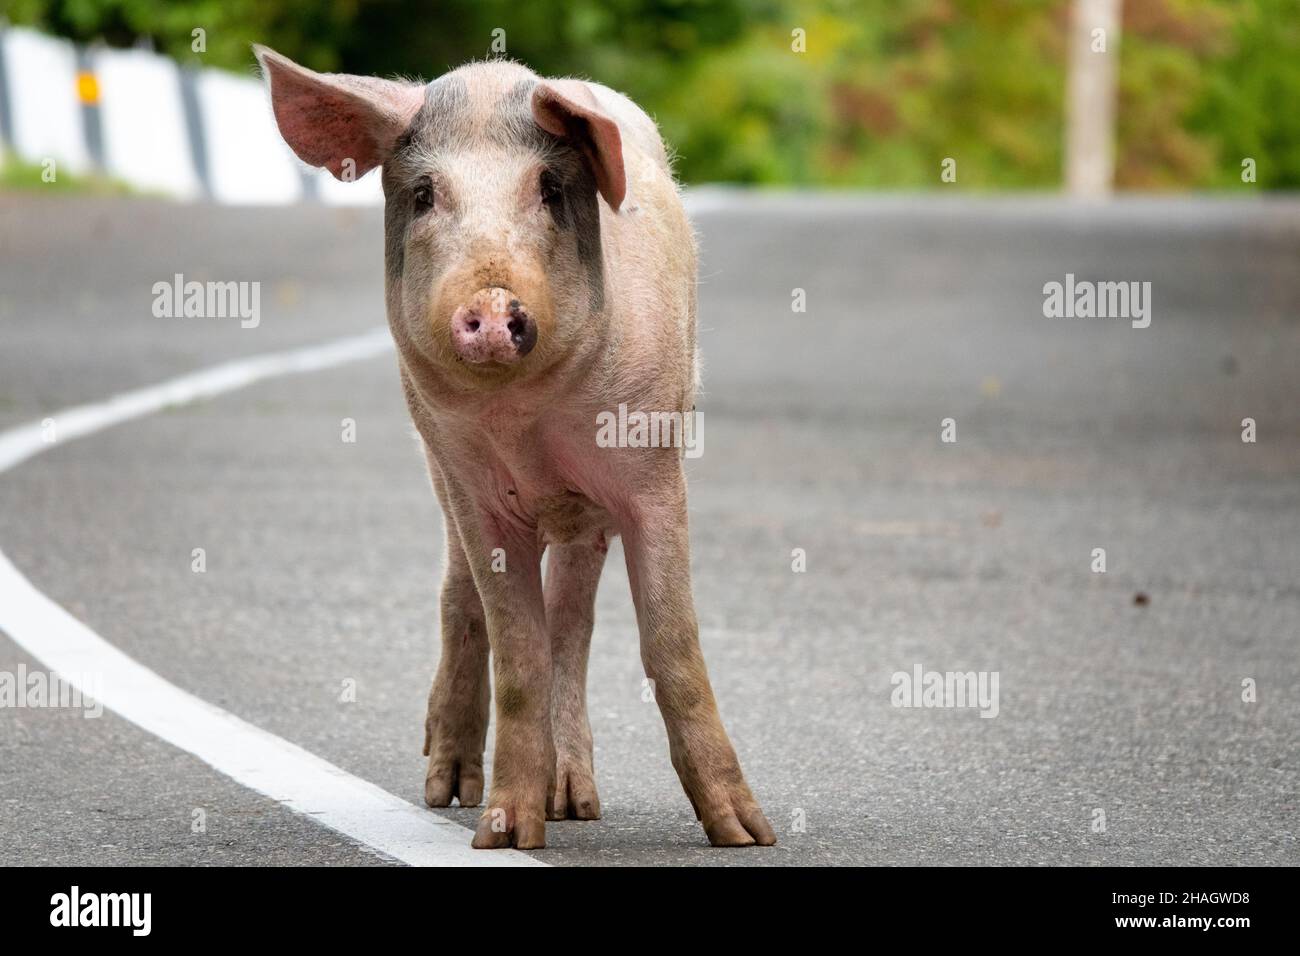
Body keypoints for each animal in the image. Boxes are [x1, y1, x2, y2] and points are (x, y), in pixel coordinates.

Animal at [256, 46, 775, 851]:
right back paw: (449, 789)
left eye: (551, 188)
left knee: (573, 620)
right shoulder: (473, 484)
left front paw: (747, 835)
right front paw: (501, 834)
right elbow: (518, 654)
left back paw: (577, 804)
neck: (527, 426)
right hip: (440, 472)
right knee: (461, 598)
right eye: (425, 193)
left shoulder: (652, 471)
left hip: (585, 517)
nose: (494, 305)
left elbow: (671, 642)